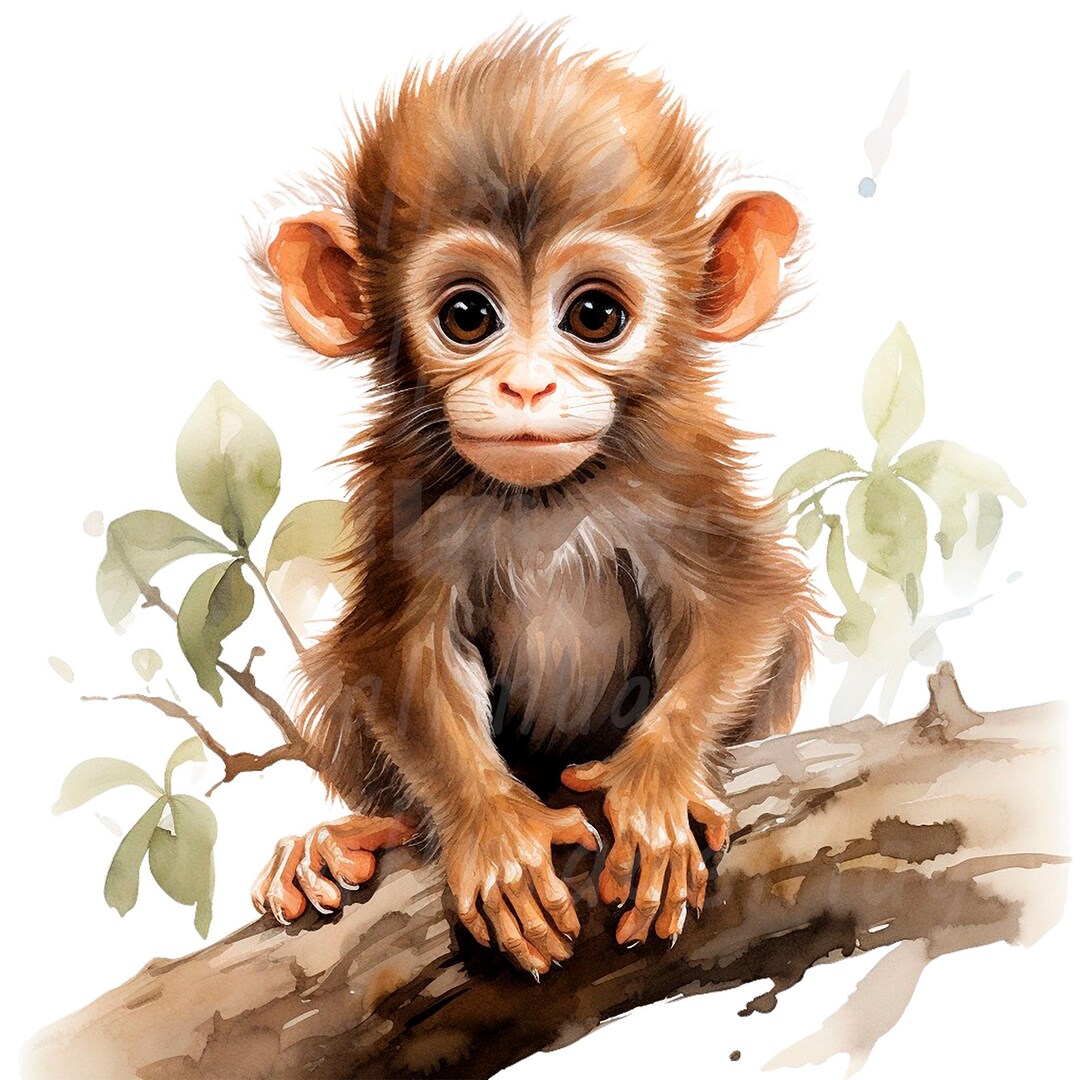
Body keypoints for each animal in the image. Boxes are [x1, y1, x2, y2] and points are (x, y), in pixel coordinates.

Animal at [248, 25, 818, 977]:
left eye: (593, 315)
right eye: (468, 316)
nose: (525, 386)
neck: (550, 501)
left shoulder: (682, 470)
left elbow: (746, 604)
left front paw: (656, 783)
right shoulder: (405, 492)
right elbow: (396, 650)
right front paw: (495, 831)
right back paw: (343, 839)